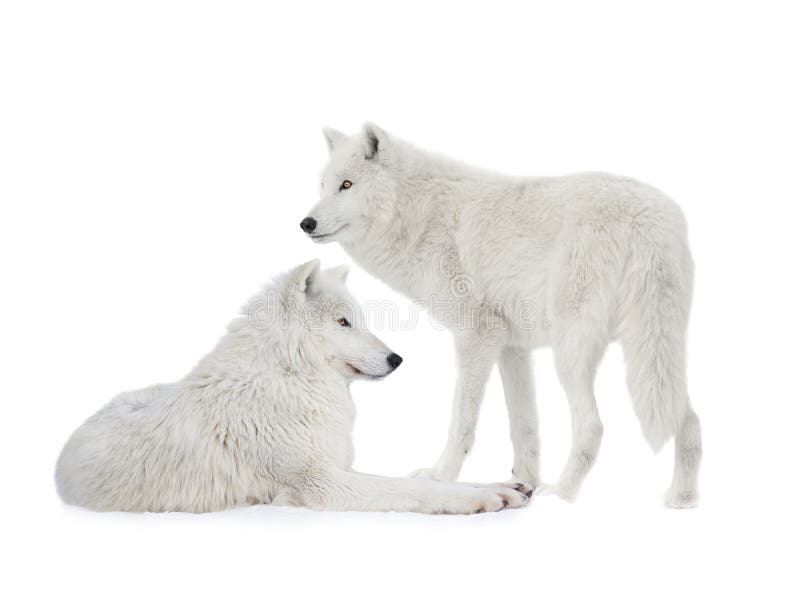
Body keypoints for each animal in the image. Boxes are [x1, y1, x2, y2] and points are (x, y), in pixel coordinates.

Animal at [55, 260, 531, 514]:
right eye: (343, 322)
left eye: (357, 319)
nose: (397, 359)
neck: (290, 378)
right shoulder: (321, 483)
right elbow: (411, 490)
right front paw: (486, 497)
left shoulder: (338, 466)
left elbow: (409, 479)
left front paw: (498, 485)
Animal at [302, 124, 702, 508]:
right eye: (322, 185)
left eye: (346, 184)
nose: (306, 223)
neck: (421, 215)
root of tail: (649, 218)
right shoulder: (512, 347)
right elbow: (524, 426)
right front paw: (522, 484)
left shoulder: (476, 336)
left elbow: (461, 421)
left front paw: (441, 475)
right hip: (657, 353)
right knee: (687, 420)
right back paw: (681, 500)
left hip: (571, 354)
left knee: (593, 427)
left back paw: (562, 495)